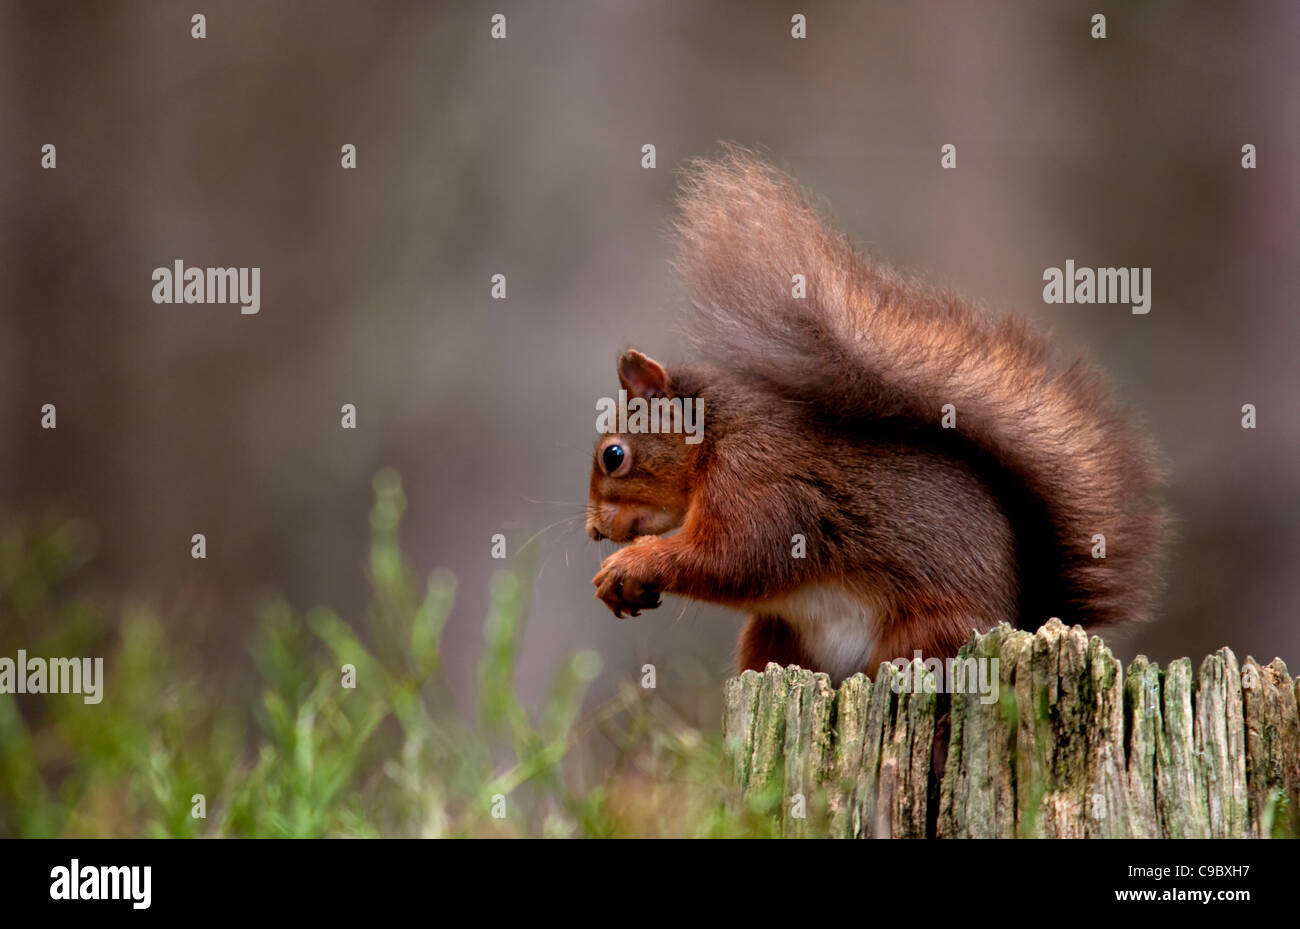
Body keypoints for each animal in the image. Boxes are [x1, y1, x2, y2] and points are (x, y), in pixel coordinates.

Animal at [587, 149, 1166, 683]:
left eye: (614, 455)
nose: (594, 531)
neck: (718, 436)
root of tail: (1024, 620)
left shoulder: (761, 481)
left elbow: (734, 559)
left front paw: (630, 563)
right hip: (775, 635)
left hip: (925, 635)